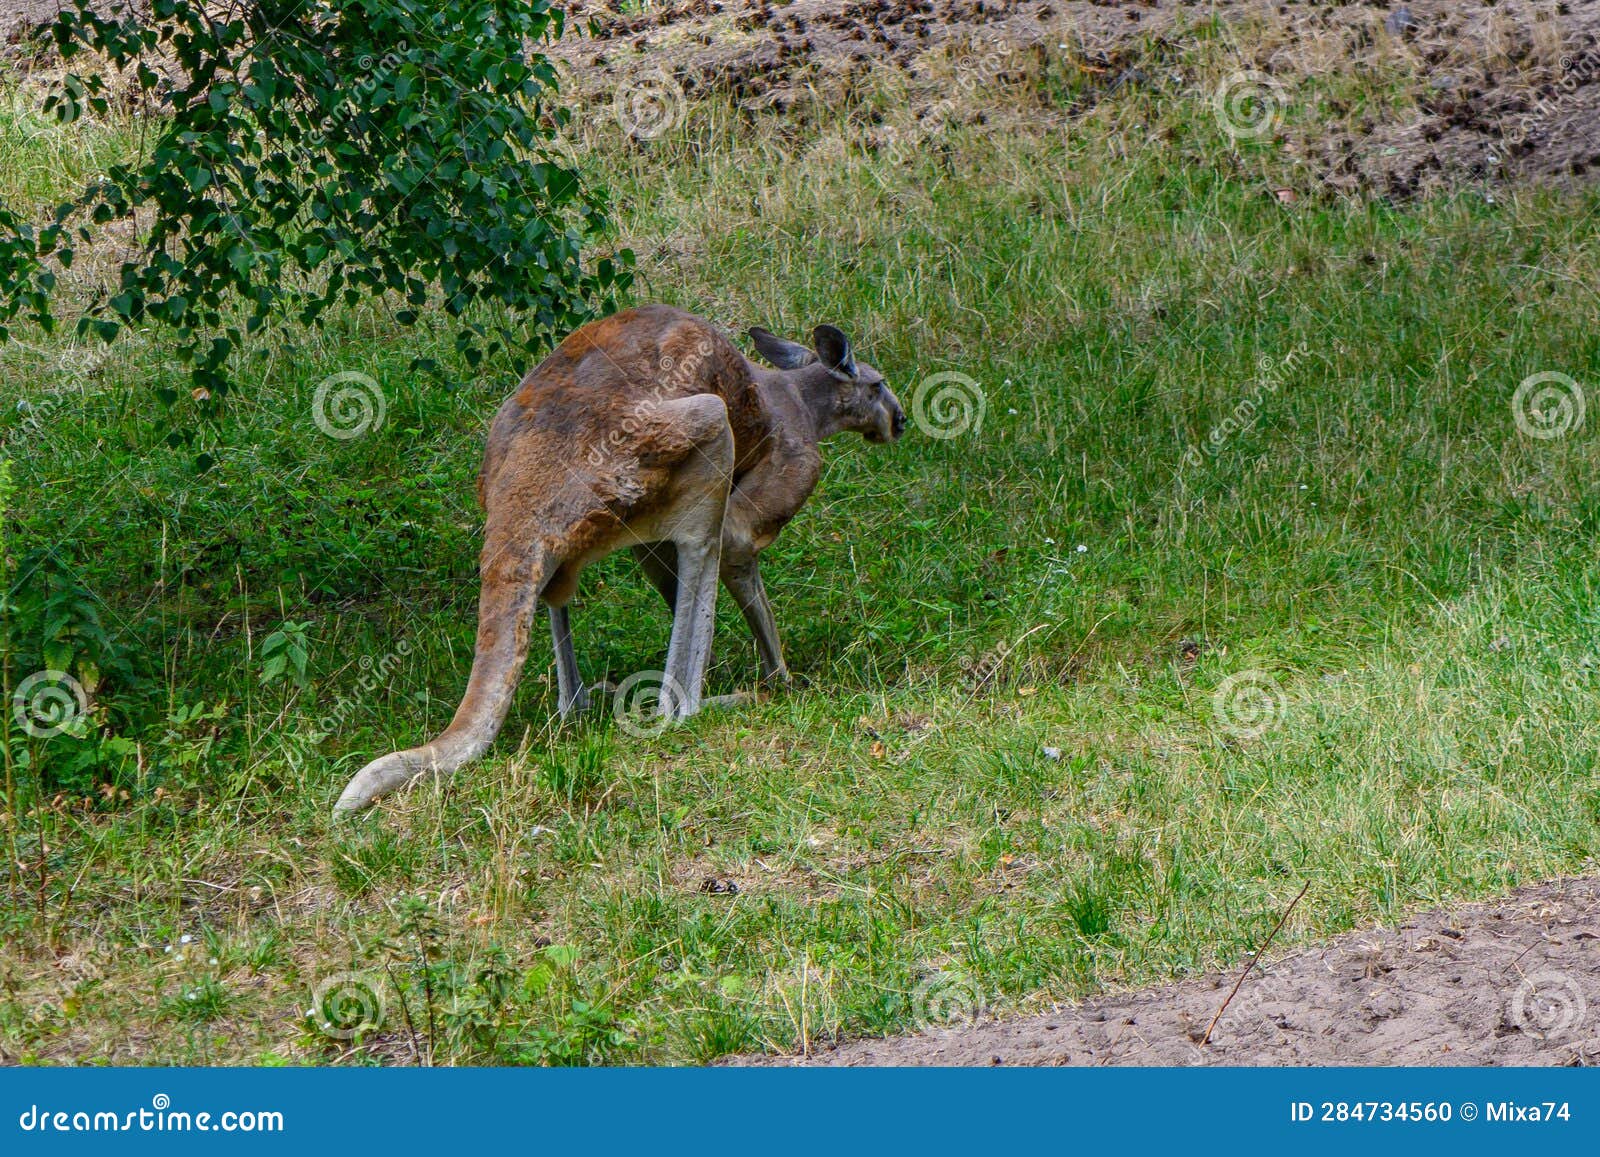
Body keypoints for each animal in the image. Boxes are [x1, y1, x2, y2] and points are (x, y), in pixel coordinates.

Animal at [334, 304, 905, 813]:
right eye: (876, 385)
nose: (900, 421)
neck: (795, 397)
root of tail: (519, 502)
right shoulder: (784, 470)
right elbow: (741, 552)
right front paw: (781, 678)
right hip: (691, 437)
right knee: (691, 620)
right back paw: (716, 699)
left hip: (607, 511)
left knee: (561, 603)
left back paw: (589, 699)